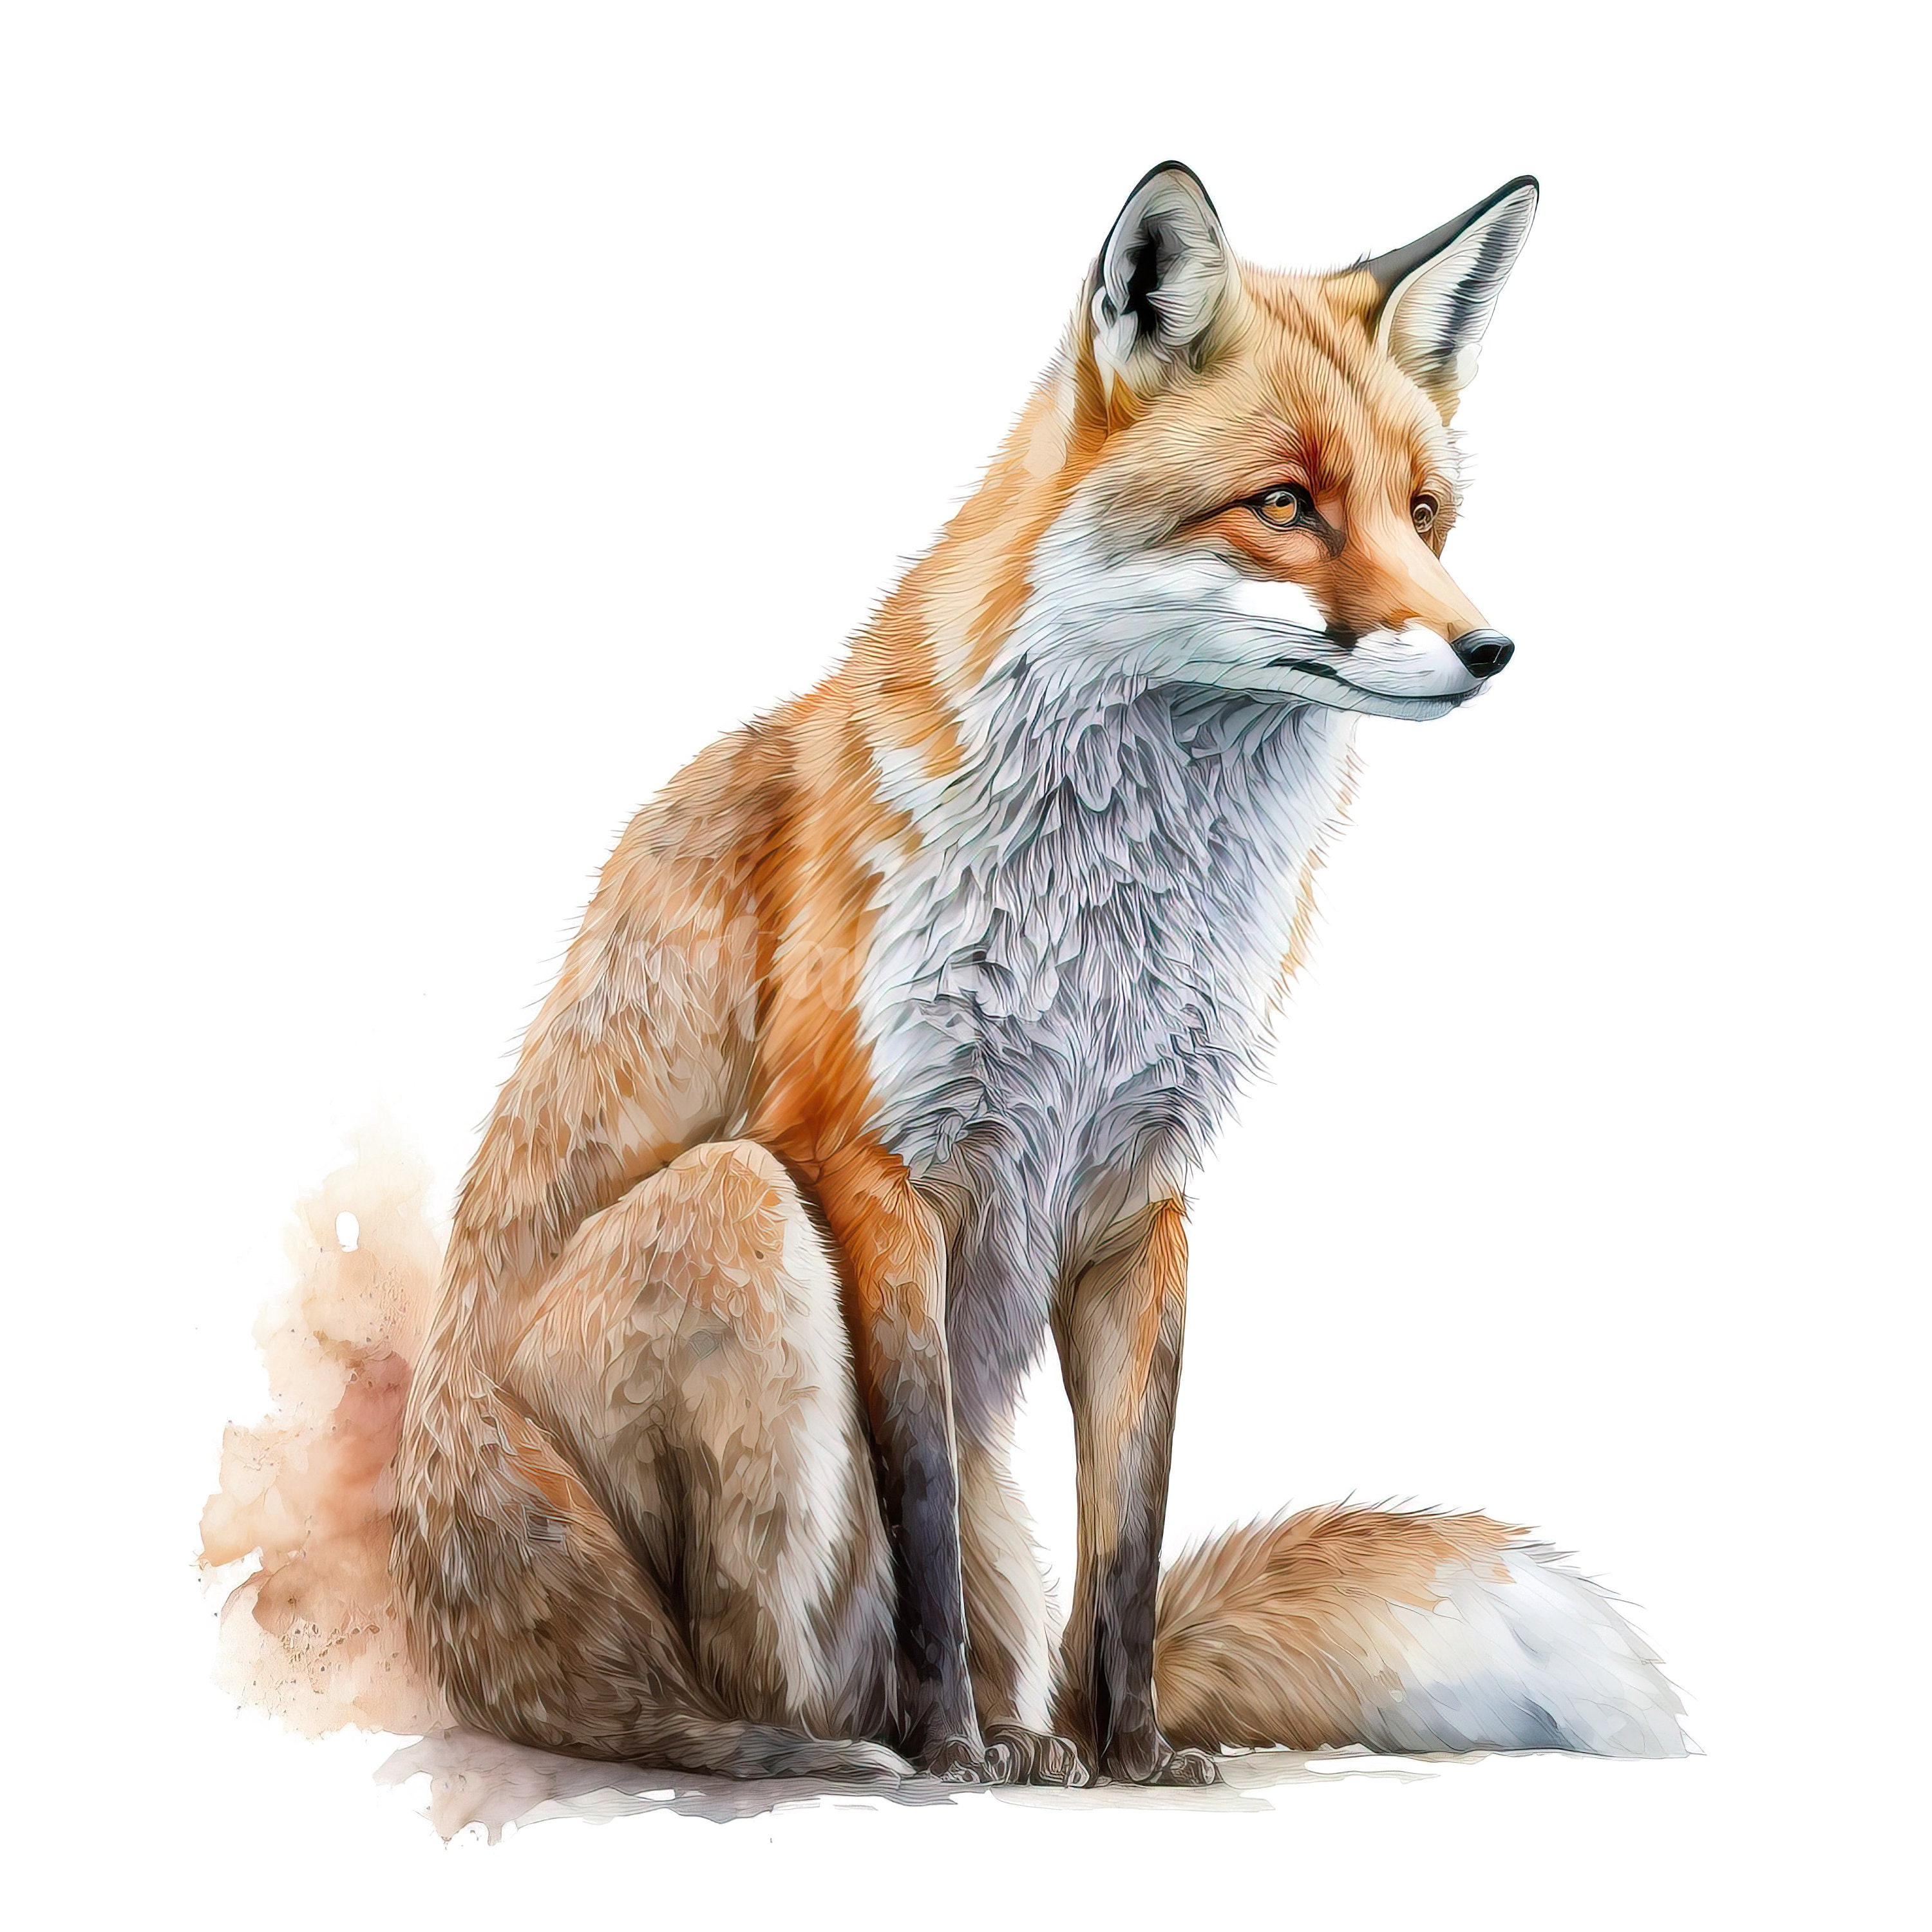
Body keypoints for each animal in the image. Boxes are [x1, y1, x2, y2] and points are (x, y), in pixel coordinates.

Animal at [391, 162, 1689, 1788]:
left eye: (1425, 512)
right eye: (1285, 505)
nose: (1488, 646)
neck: (1107, 927)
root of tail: (447, 1613)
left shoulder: (1141, 1195)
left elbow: (1127, 1538)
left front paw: (1134, 1749)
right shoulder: (874, 1165)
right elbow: (918, 1513)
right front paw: (951, 1744)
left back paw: (1033, 1733)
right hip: (740, 1219)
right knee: (716, 1684)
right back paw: (845, 1747)